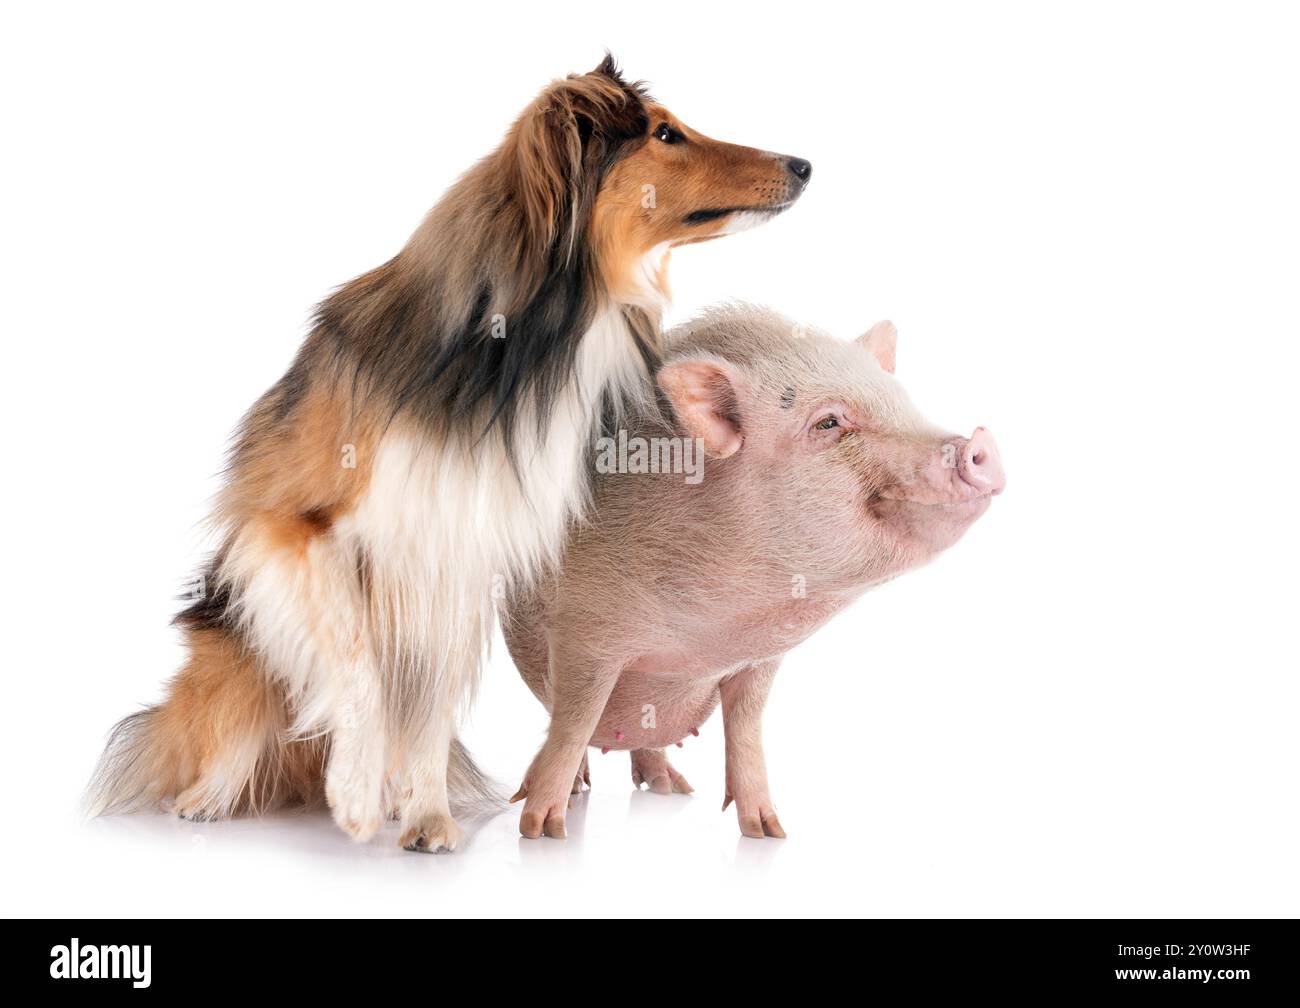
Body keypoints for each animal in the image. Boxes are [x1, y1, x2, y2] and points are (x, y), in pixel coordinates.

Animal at [501, 304, 1005, 839]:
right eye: (828, 422)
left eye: (905, 404)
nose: (979, 440)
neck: (702, 644)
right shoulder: (583, 634)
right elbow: (574, 720)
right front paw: (541, 830)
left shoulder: (757, 661)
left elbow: (746, 730)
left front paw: (769, 831)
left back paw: (670, 788)